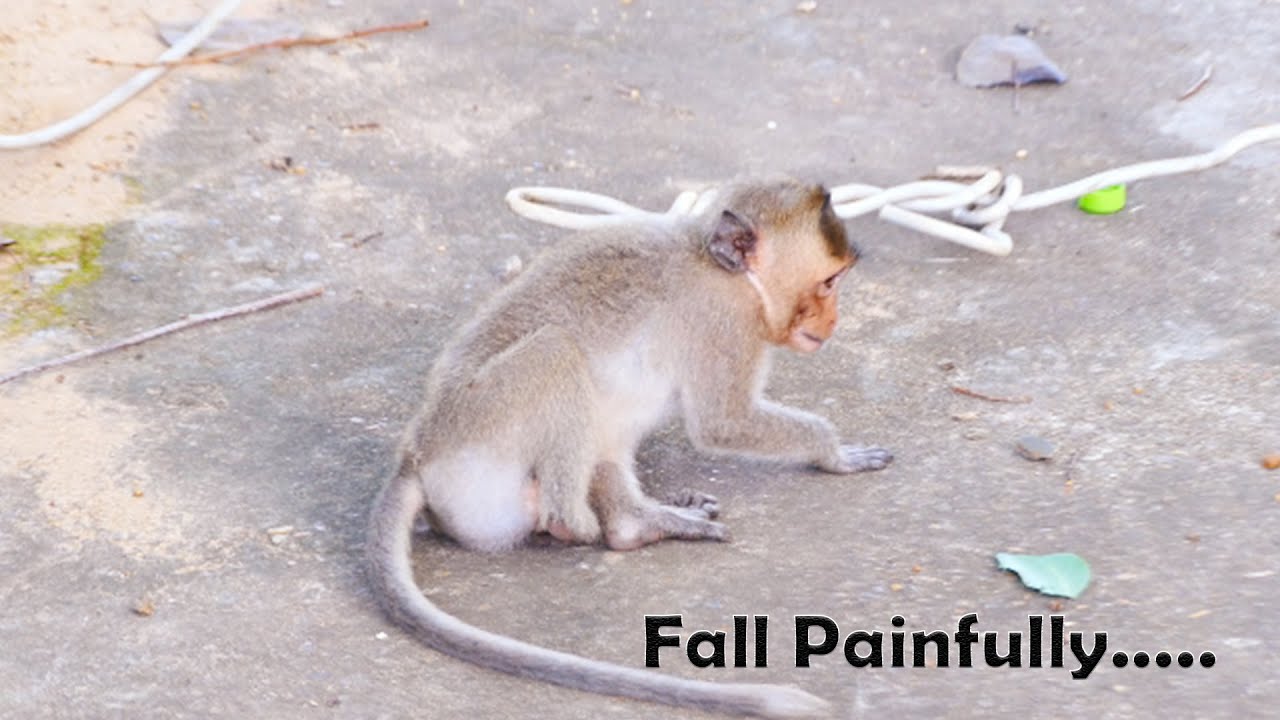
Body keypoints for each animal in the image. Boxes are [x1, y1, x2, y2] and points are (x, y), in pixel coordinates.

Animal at [367, 177, 893, 719]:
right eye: (829, 282)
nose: (833, 321)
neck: (717, 266)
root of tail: (417, 453)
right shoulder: (726, 324)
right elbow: (724, 424)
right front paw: (833, 453)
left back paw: (638, 521)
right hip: (483, 423)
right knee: (556, 352)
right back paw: (585, 523)